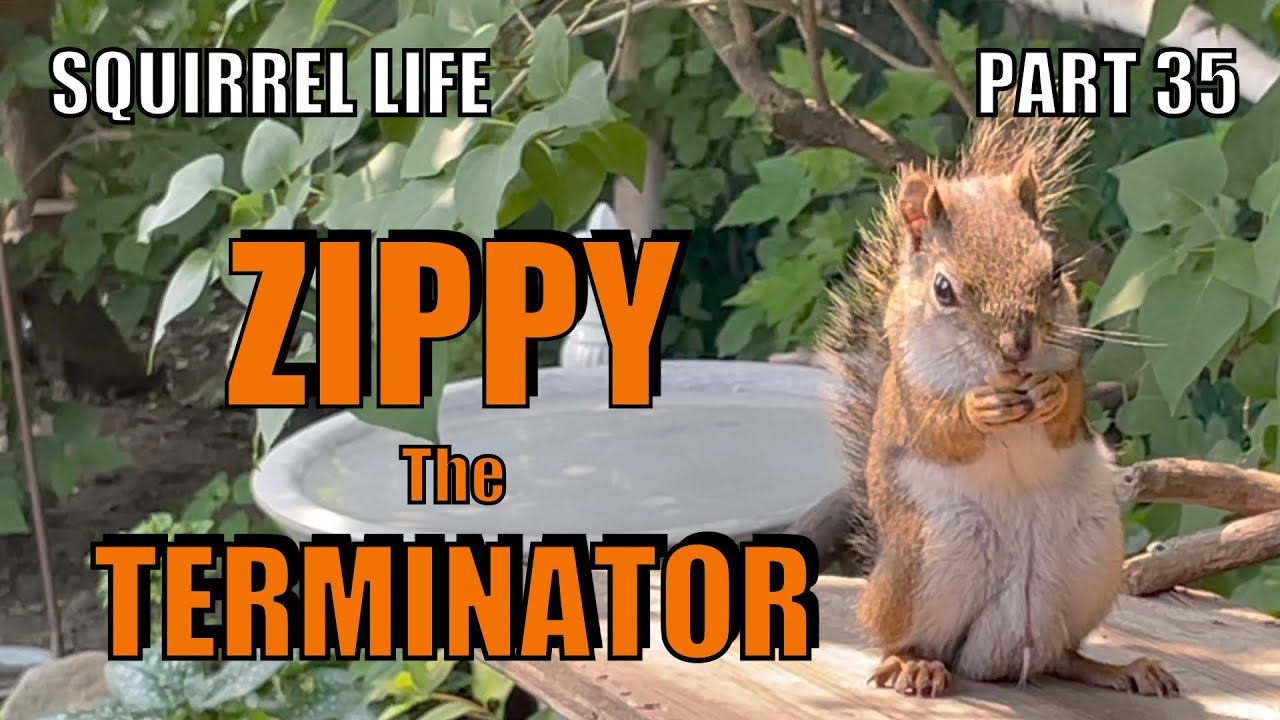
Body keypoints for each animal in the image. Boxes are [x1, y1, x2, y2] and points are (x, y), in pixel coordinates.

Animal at [815, 97, 1180, 699]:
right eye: (943, 290)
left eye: (1055, 271)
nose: (1018, 346)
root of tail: (1003, 653)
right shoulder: (909, 396)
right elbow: (939, 429)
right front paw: (976, 410)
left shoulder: (1073, 367)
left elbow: (1072, 408)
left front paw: (1052, 392)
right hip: (929, 562)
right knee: (907, 640)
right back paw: (914, 664)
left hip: (1092, 560)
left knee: (1062, 655)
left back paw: (1121, 668)